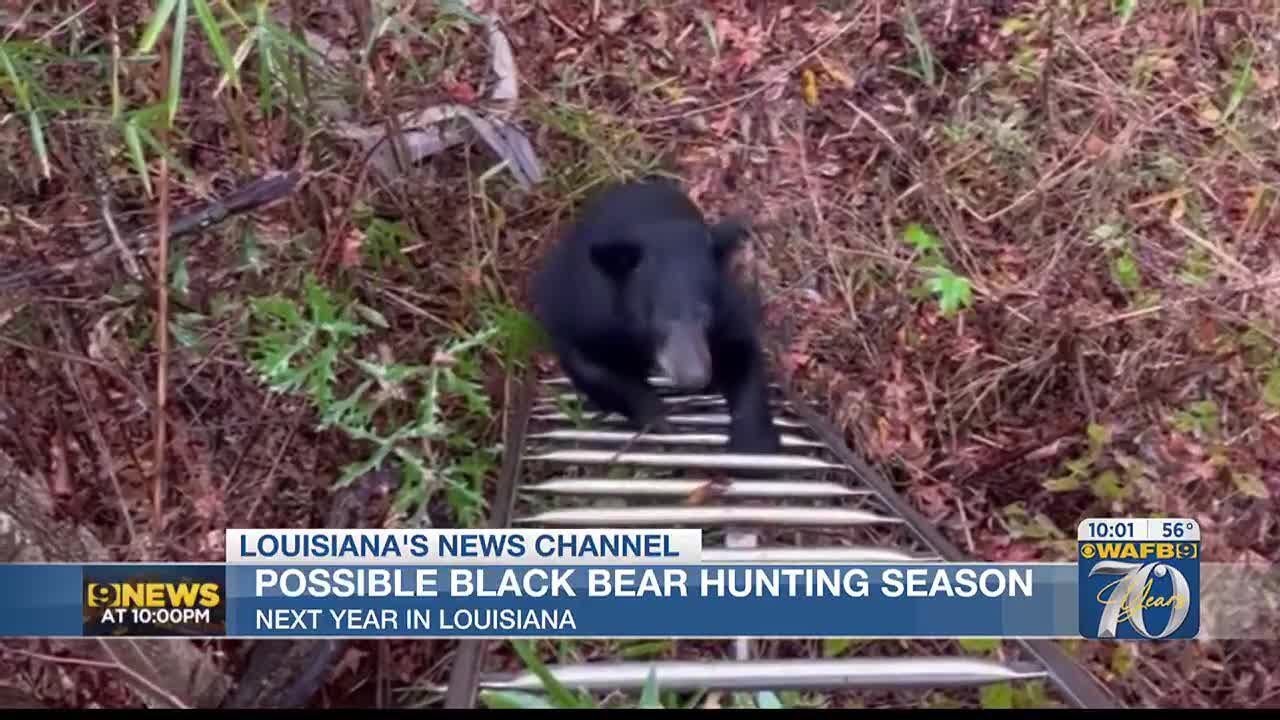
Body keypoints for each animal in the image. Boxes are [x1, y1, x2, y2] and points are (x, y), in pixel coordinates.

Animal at [530, 177, 782, 455]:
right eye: (654, 319)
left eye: (704, 314)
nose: (695, 378)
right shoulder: (587, 310)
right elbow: (591, 364)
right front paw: (658, 418)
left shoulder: (727, 306)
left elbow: (741, 350)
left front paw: (754, 440)